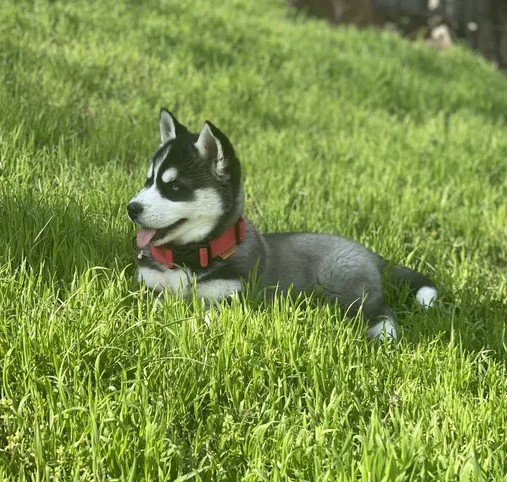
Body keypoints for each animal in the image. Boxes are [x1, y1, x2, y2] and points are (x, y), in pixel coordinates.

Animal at [127, 111, 436, 340]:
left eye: (175, 187)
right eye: (148, 181)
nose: (131, 209)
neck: (189, 257)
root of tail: (368, 252)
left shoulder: (230, 298)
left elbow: (201, 316)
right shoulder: (148, 287)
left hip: (343, 289)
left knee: (381, 309)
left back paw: (385, 334)